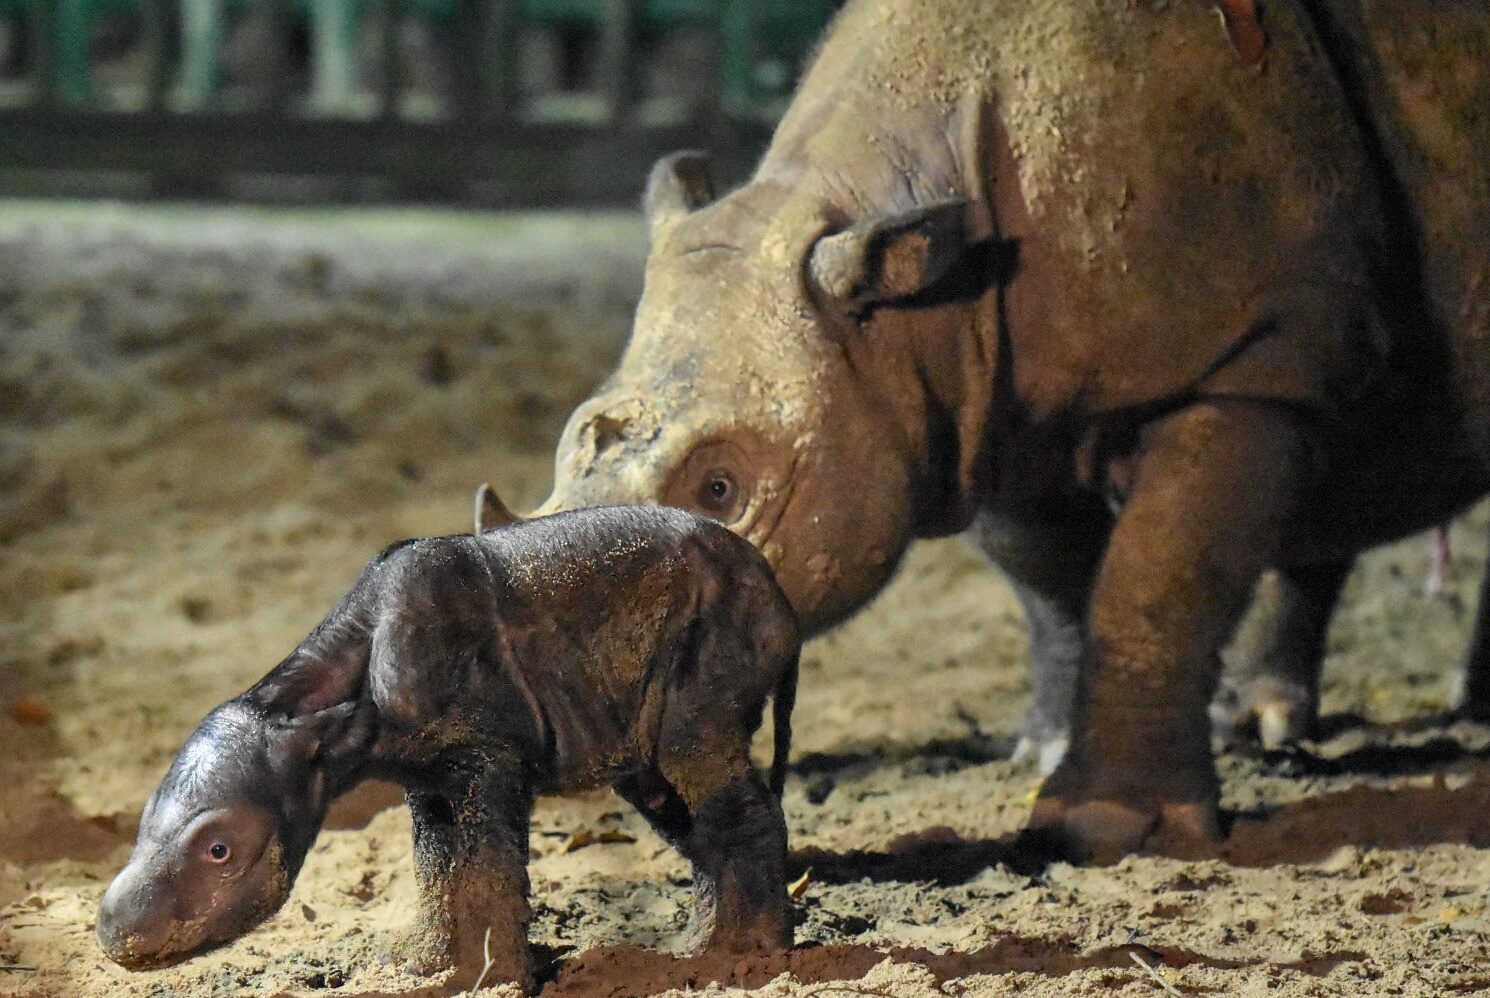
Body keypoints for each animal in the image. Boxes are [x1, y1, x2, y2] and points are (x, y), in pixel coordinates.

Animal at [522, 0, 1490, 859]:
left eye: (720, 488)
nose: (575, 707)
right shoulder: (979, 399)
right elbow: (1050, 579)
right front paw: (1042, 750)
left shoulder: (1245, 358)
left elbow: (1158, 575)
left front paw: (1103, 828)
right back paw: (1274, 723)